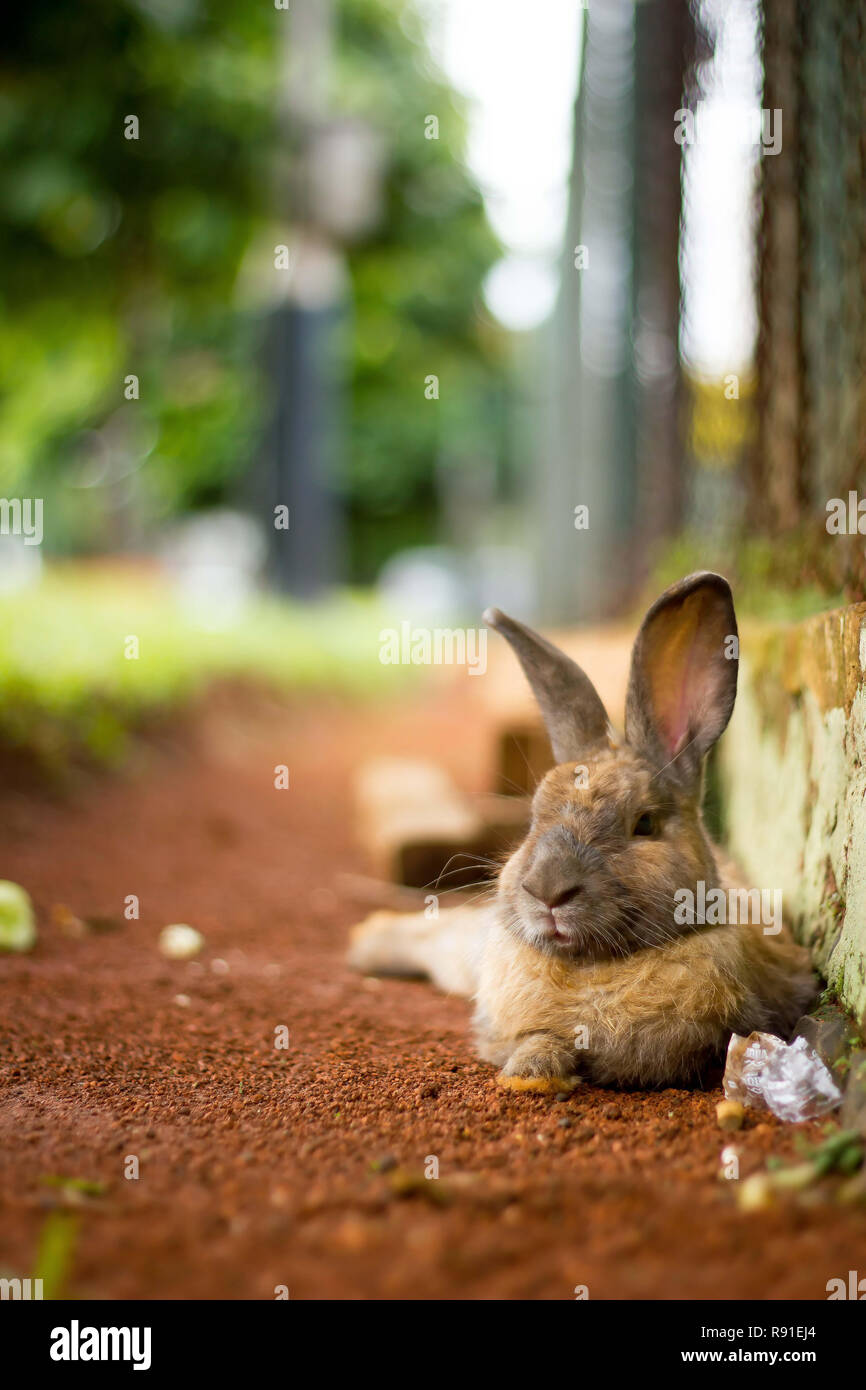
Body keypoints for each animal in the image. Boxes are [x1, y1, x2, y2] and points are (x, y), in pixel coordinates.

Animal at [348, 573, 817, 1092]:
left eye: (644, 823)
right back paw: (364, 943)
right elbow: (534, 1040)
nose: (548, 891)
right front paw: (529, 1074)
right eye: (534, 816)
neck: (594, 965)